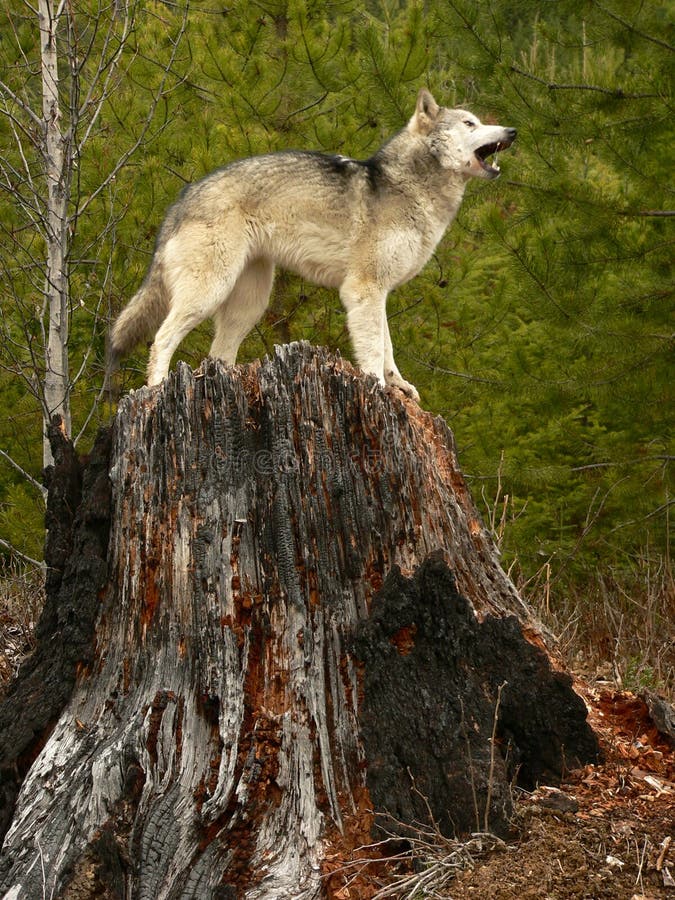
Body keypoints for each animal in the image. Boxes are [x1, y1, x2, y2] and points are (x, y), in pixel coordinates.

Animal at [110, 89, 516, 399]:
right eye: (470, 124)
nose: (512, 131)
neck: (408, 186)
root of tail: (181, 200)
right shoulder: (363, 289)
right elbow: (373, 351)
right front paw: (377, 387)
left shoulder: (379, 292)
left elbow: (387, 348)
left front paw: (398, 386)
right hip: (209, 292)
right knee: (161, 339)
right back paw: (157, 387)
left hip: (248, 305)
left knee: (218, 354)